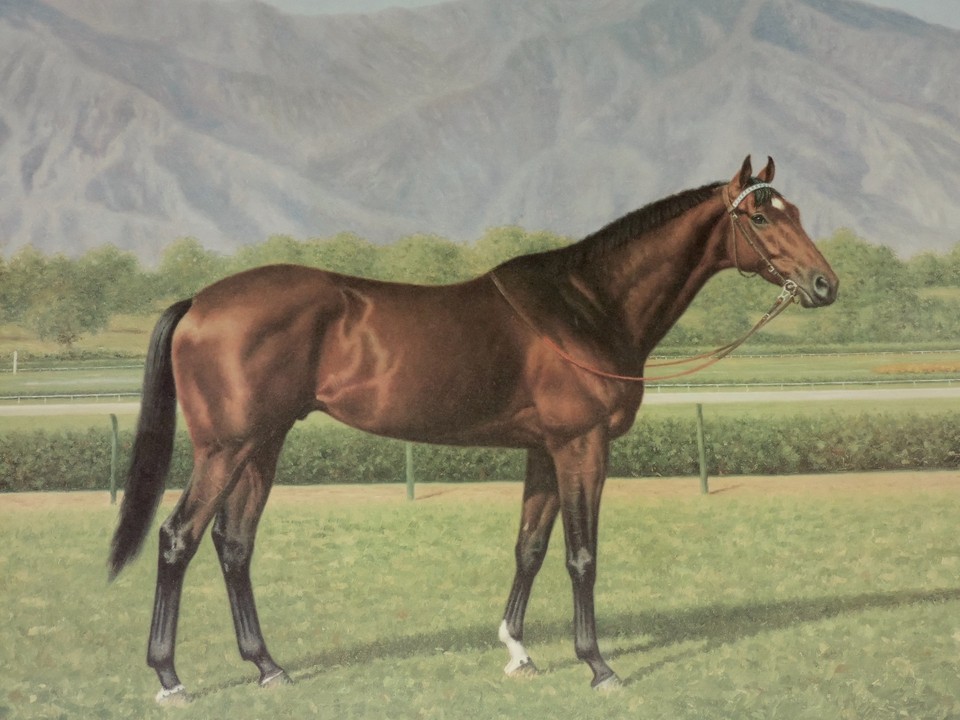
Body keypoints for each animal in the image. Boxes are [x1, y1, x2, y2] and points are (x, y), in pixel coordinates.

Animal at [108, 156, 838, 702]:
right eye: (761, 215)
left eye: (796, 212)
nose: (825, 284)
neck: (586, 305)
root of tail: (200, 302)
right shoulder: (581, 446)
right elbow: (581, 555)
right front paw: (598, 665)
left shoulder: (544, 452)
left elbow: (530, 548)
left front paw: (518, 650)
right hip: (225, 448)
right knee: (178, 539)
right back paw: (170, 678)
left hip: (263, 444)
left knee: (233, 544)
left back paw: (267, 666)